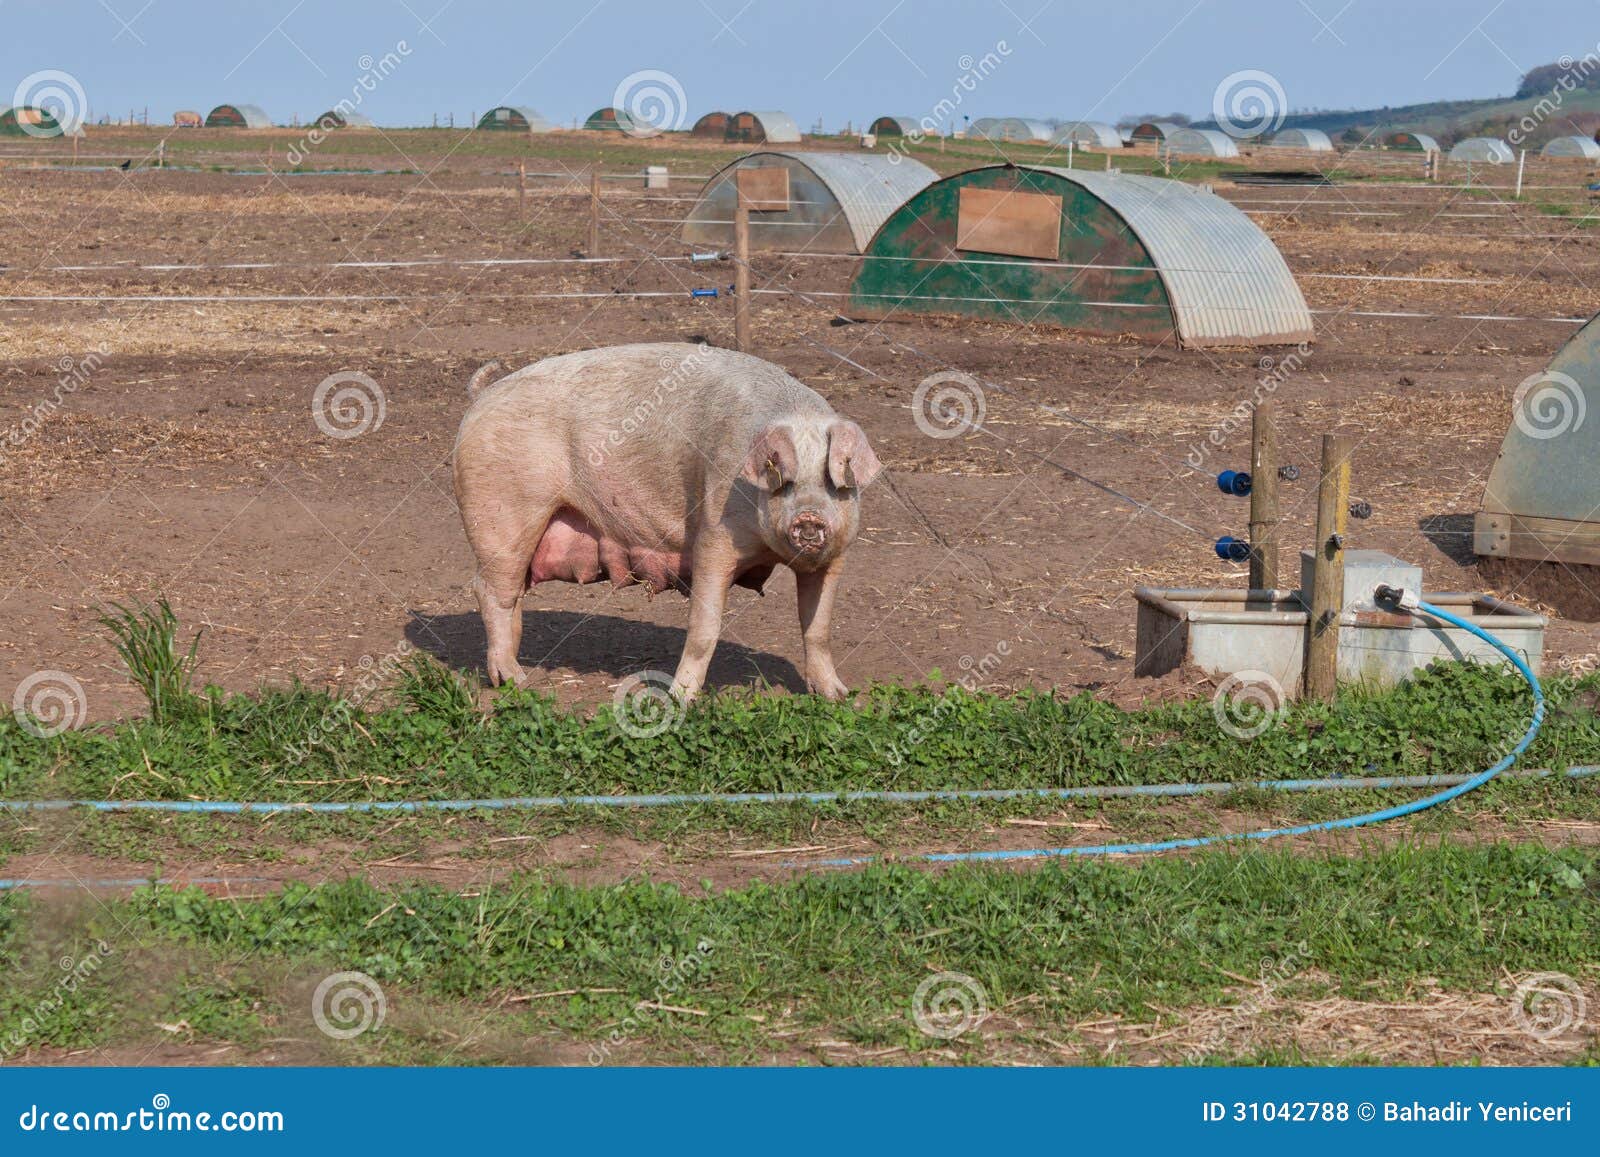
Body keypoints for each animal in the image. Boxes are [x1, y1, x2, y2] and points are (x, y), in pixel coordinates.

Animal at [452, 342, 883, 700]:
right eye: (783, 480)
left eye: (833, 480)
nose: (809, 519)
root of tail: (482, 394)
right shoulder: (713, 537)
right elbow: (704, 628)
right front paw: (681, 699)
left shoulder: (834, 558)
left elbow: (818, 628)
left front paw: (838, 697)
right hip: (501, 515)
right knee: (489, 591)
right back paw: (516, 681)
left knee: (513, 597)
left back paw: (513, 675)